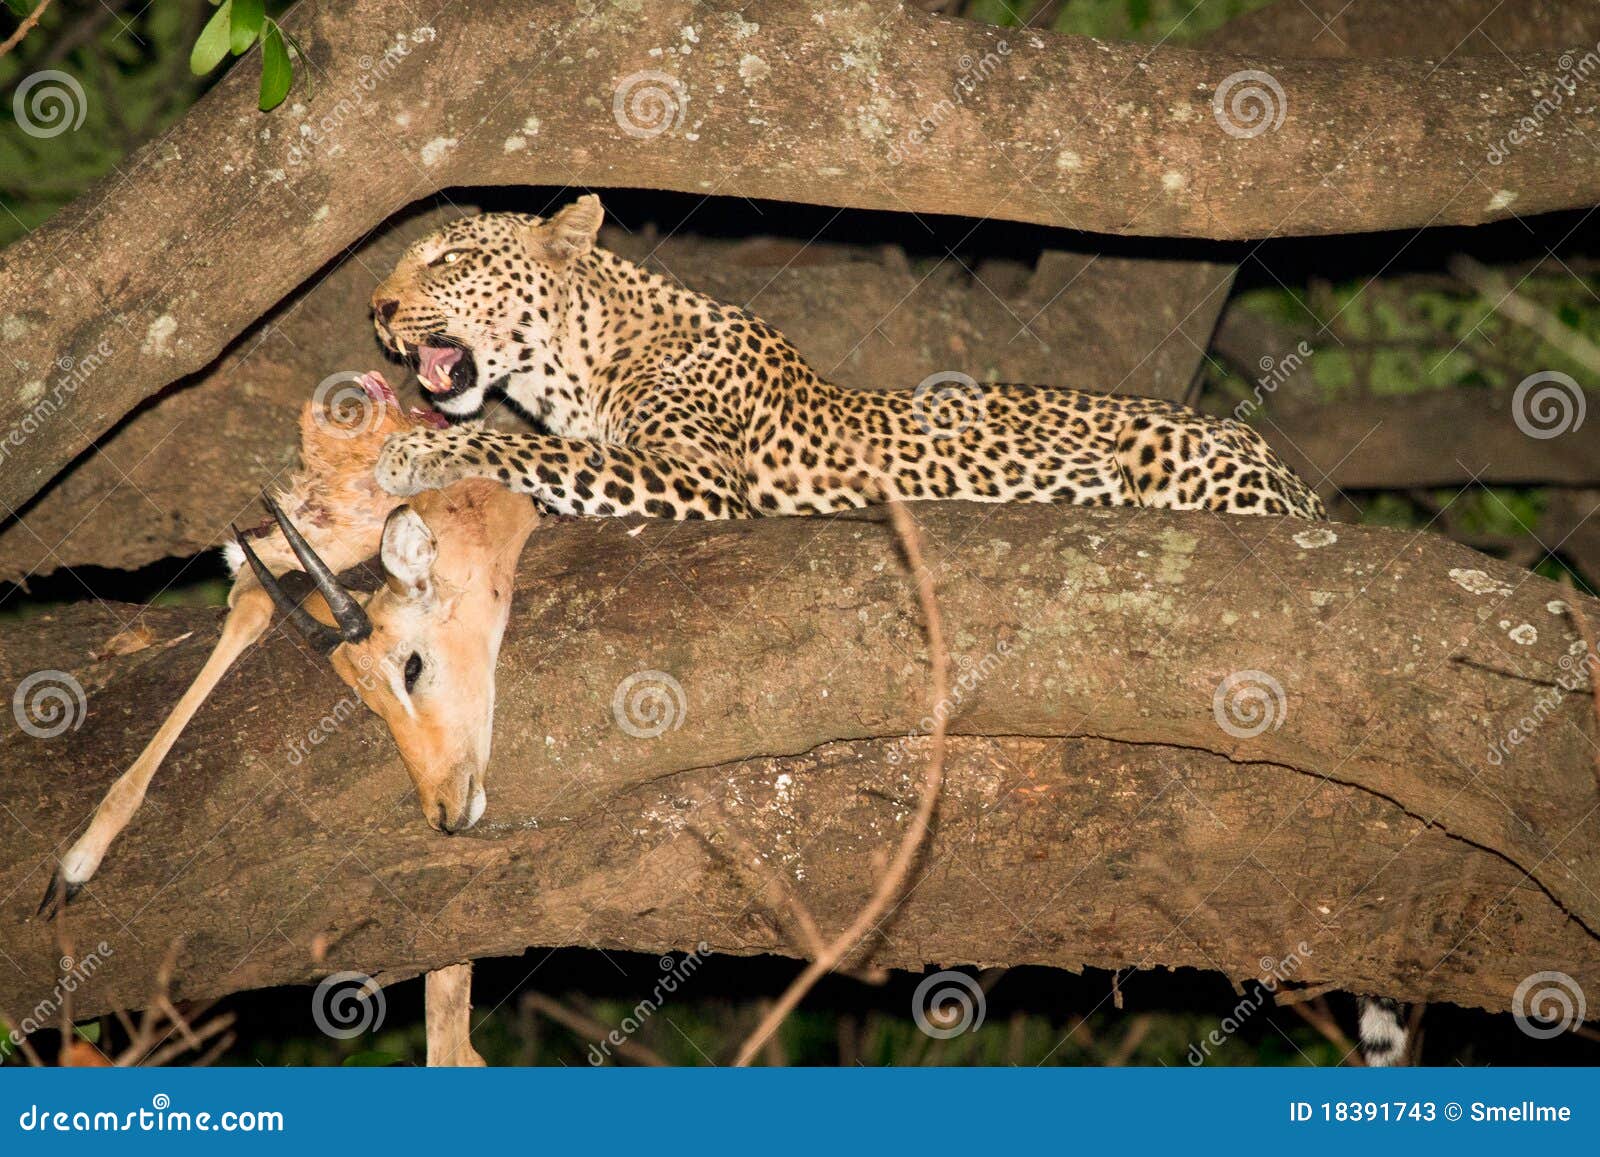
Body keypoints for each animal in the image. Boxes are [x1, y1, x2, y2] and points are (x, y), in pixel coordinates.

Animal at [368, 194, 1412, 1065]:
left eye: (451, 256)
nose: (377, 312)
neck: (585, 358)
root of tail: (1299, 483)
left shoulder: (692, 478)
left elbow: (534, 451)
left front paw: (411, 450)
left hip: (1179, 451)